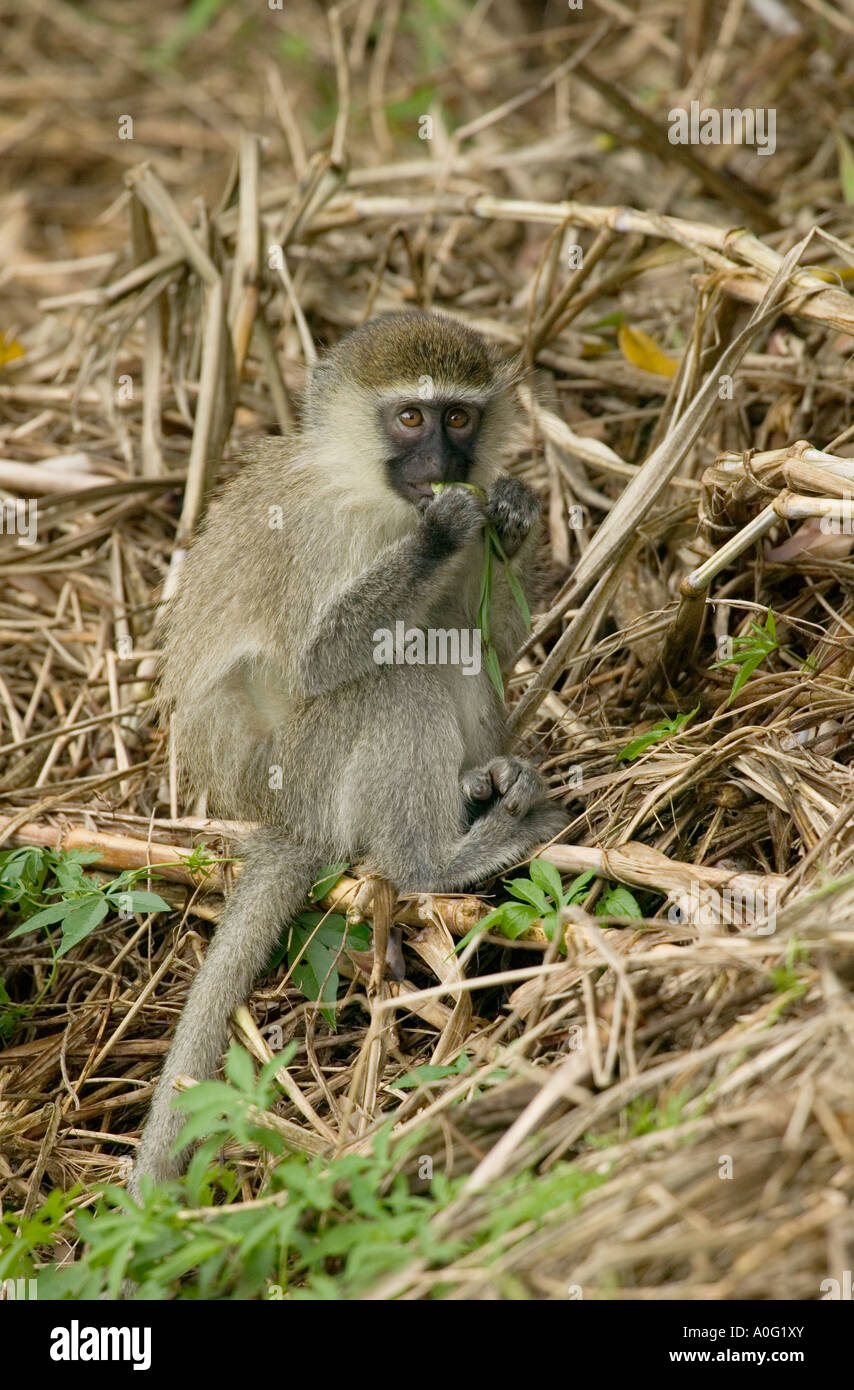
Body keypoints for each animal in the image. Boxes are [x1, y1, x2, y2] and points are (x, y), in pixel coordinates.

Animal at [130, 310, 564, 1193]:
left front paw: (512, 510)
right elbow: (318, 660)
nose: (443, 466)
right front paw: (441, 530)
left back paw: (486, 781)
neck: (379, 497)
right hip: (308, 767)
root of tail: (281, 815)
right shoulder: (323, 533)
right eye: (410, 417)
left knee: (443, 636)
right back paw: (434, 861)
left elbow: (492, 638)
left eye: (458, 417)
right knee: (398, 672)